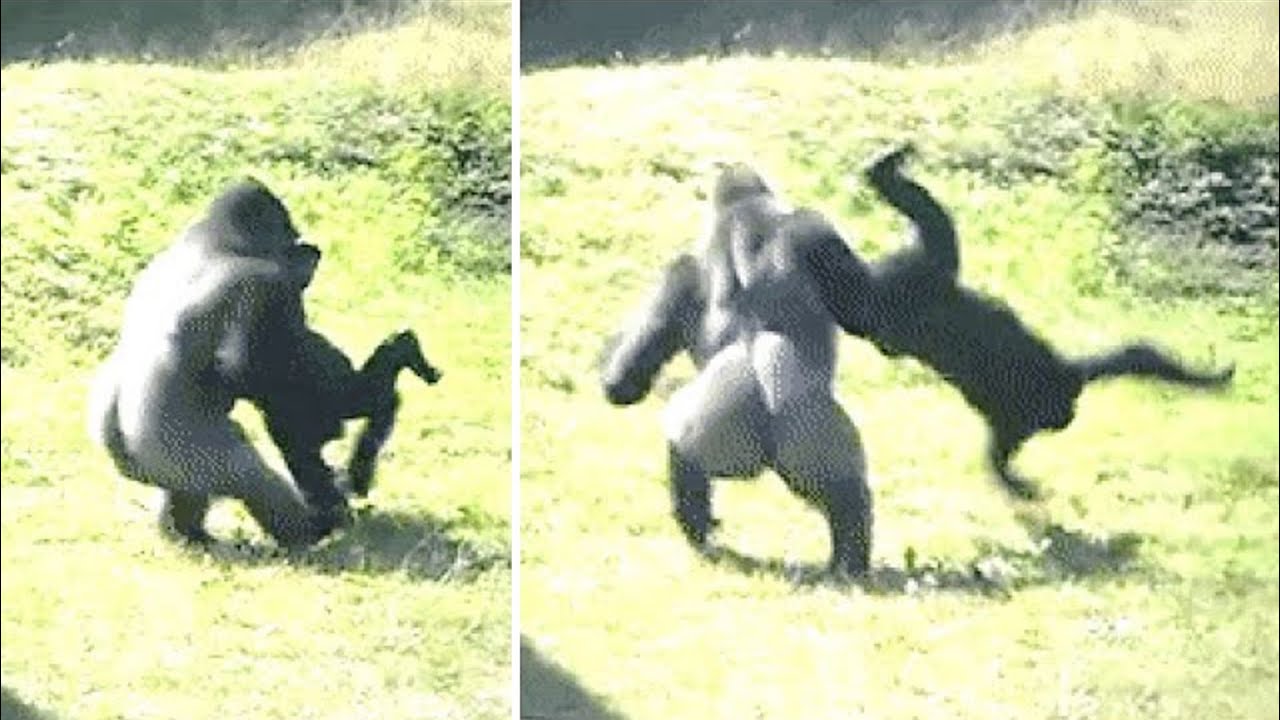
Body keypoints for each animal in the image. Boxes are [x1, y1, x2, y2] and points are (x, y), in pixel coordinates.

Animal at [806, 143, 1235, 499]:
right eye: (1062, 413)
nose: (1069, 417)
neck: (1048, 385)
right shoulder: (1023, 414)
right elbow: (998, 460)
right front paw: (1021, 486)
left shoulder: (1071, 379)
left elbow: (1136, 356)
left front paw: (1209, 376)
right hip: (907, 291)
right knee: (863, 300)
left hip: (917, 276)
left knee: (928, 228)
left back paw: (879, 176)